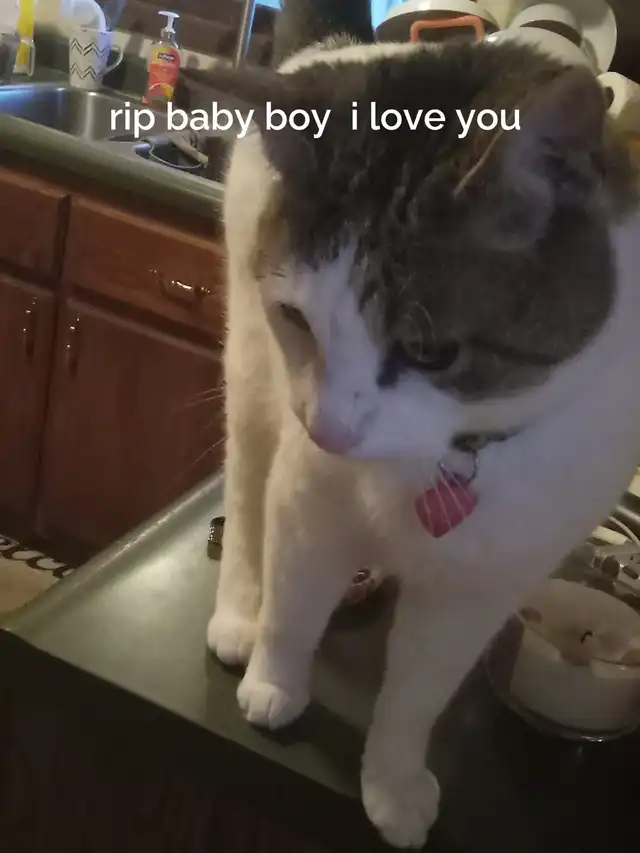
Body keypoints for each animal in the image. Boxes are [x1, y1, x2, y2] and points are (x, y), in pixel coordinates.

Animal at [183, 2, 640, 847]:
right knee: (248, 489)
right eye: (297, 317)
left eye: (430, 350)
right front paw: (274, 685)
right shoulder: (309, 497)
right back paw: (238, 611)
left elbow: (419, 692)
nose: (328, 429)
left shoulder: (485, 583)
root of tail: (359, 50)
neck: (450, 458)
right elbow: (294, 606)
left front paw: (392, 783)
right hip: (252, 381)